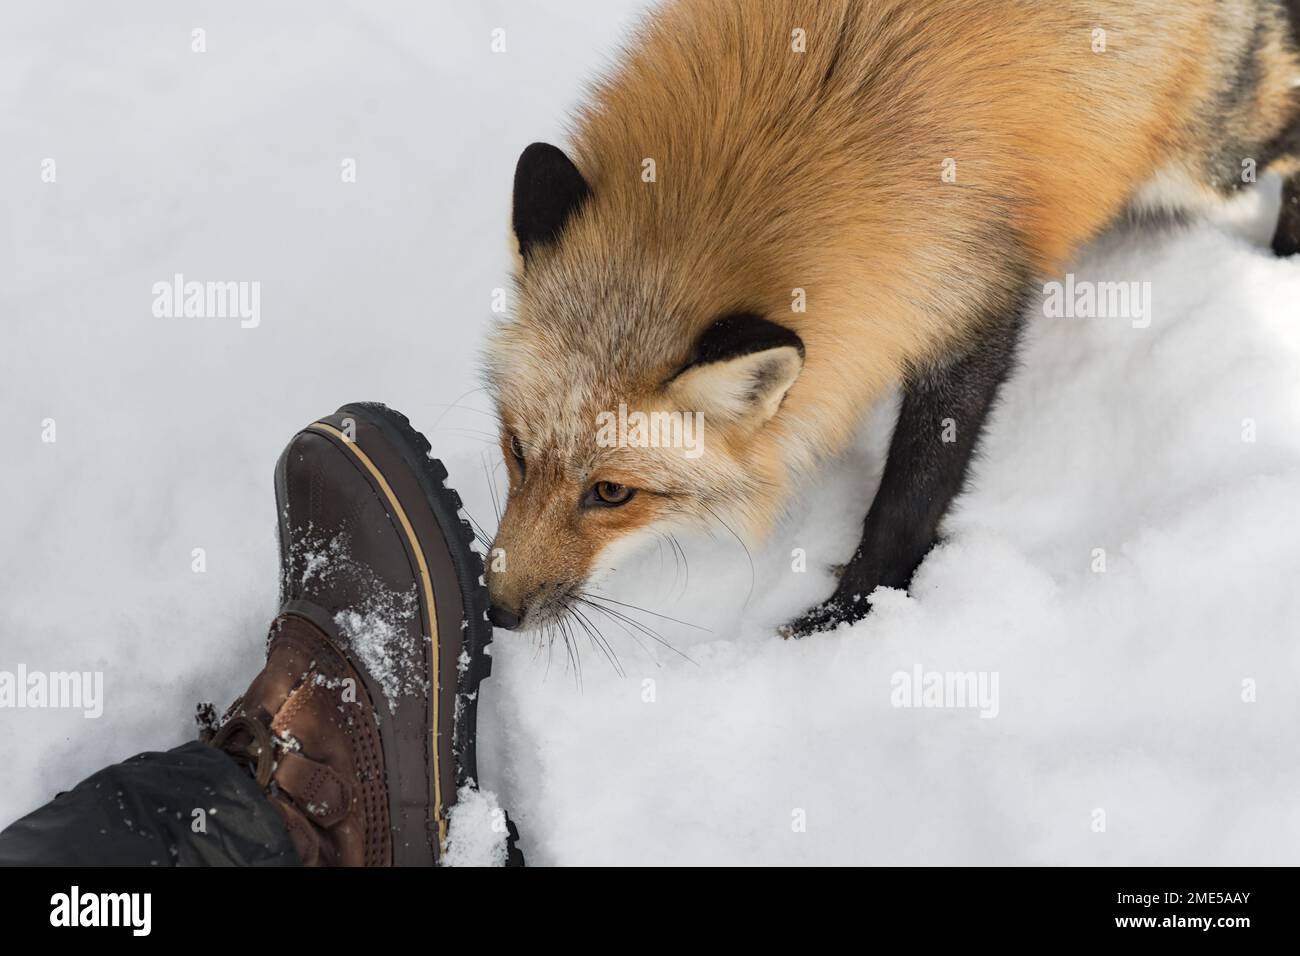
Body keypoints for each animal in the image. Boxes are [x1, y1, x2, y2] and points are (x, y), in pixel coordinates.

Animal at [483, 0, 1300, 639]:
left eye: (611, 494)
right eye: (517, 451)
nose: (498, 611)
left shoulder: (969, 293)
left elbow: (913, 492)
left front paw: (853, 613)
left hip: (1210, 158)